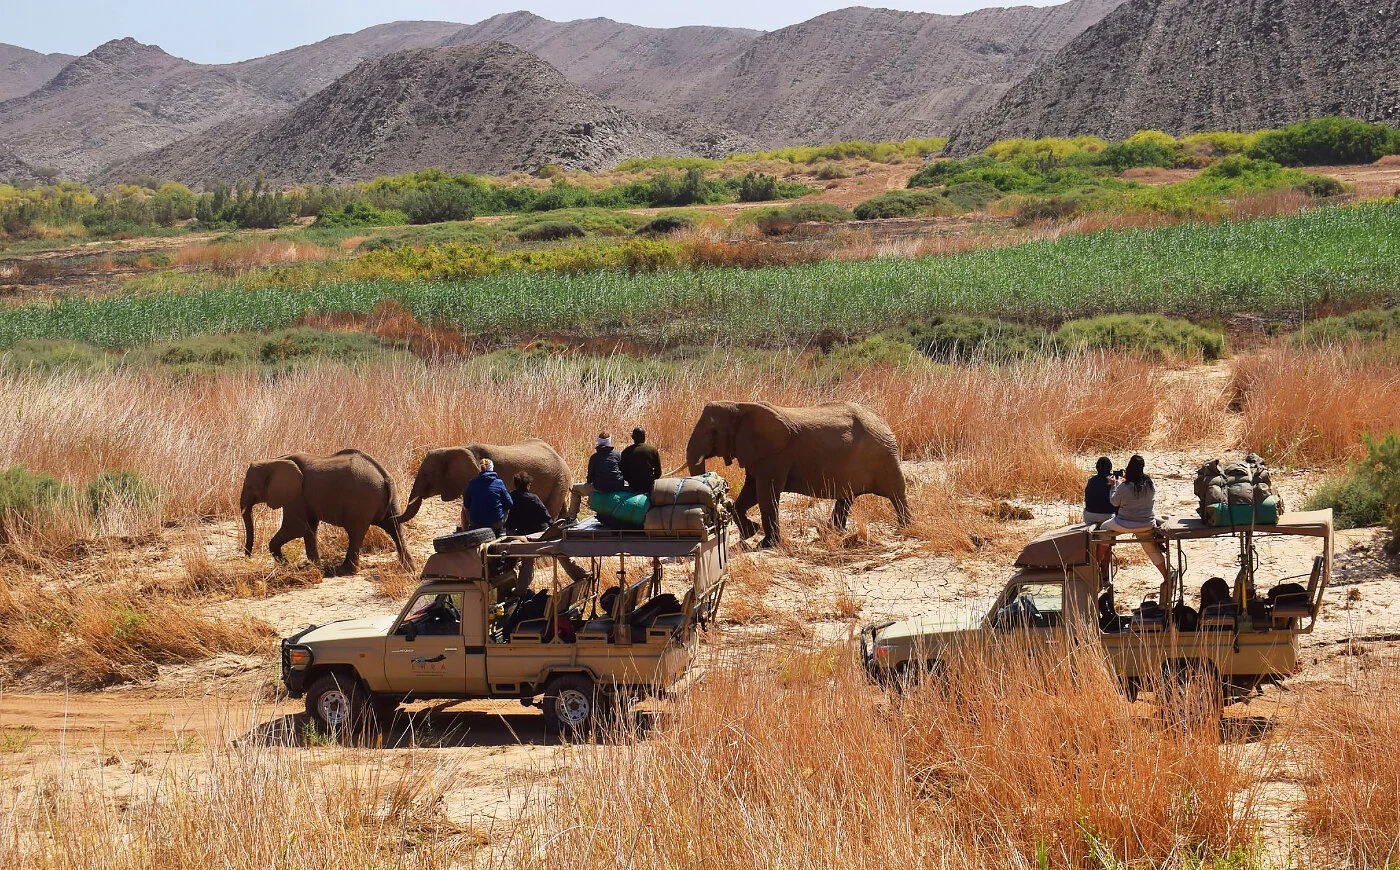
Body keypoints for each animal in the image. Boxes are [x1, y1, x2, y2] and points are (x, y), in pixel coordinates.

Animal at [240, 448, 412, 576]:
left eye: (249, 486)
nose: (247, 557)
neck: (273, 460)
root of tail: (383, 475)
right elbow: (309, 528)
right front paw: (314, 566)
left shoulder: (296, 496)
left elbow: (296, 528)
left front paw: (287, 565)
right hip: (388, 499)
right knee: (394, 527)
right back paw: (409, 568)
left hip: (362, 500)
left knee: (356, 532)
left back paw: (344, 571)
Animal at [685, 401, 910, 547]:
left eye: (713, 432)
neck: (738, 406)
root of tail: (883, 422)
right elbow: (749, 493)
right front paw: (751, 533)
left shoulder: (775, 455)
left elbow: (766, 494)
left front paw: (766, 544)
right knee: (846, 498)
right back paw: (832, 532)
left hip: (883, 456)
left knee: (896, 493)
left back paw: (906, 527)